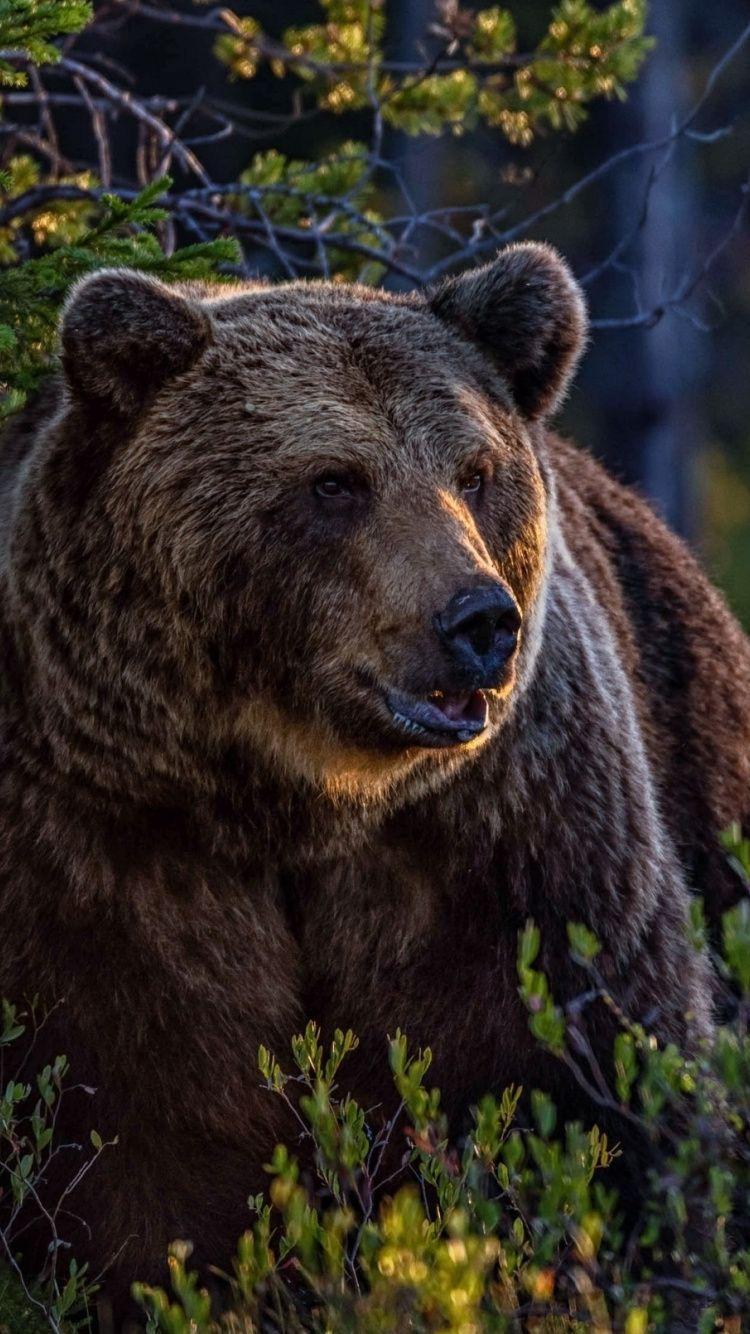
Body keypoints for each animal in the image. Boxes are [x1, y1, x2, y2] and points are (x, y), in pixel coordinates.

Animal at [0, 243, 749, 1317]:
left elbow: (606, 1096)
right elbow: (124, 1158)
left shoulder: (513, 849)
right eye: (334, 481)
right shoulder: (96, 849)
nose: (479, 620)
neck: (301, 804)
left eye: (475, 472)